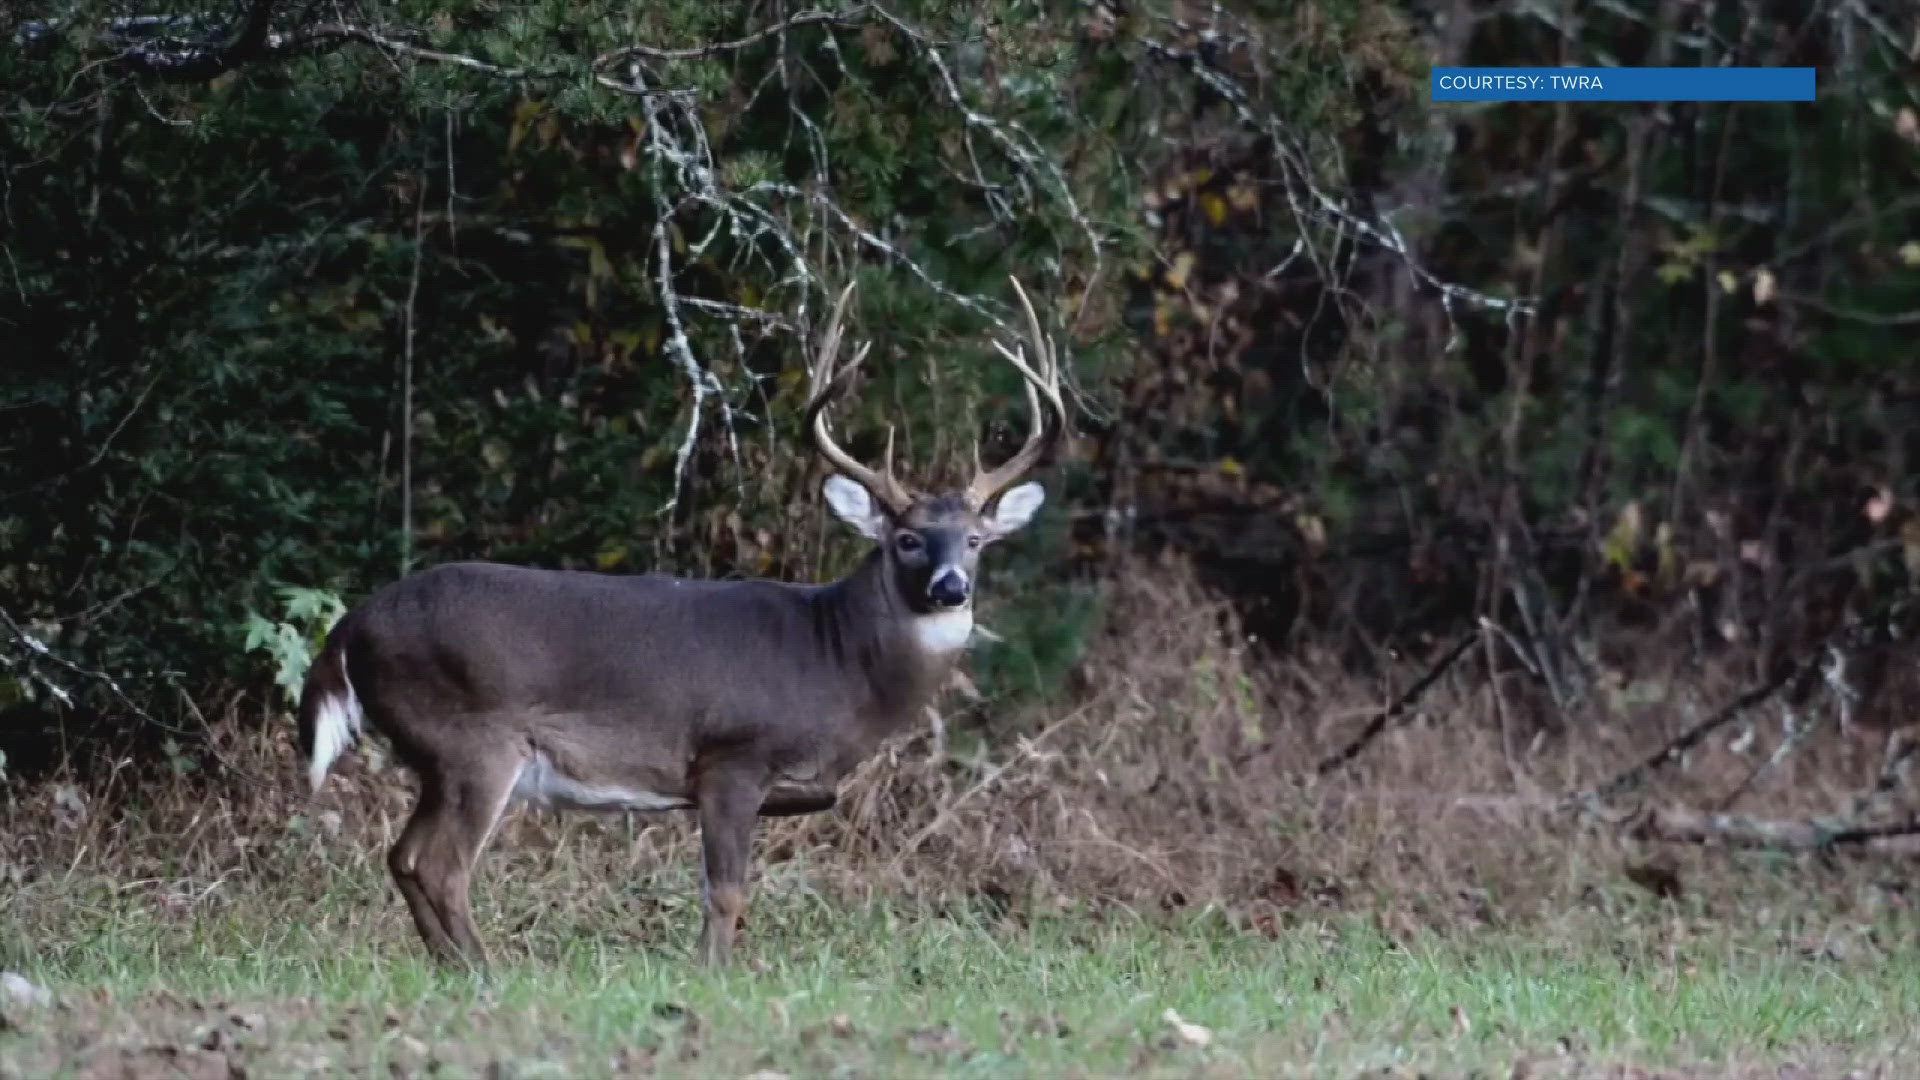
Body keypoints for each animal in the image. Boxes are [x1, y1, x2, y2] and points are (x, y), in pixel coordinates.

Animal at [295, 276, 1068, 968]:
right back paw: (490, 972)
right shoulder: (732, 759)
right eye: (905, 539)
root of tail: (350, 628)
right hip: (472, 740)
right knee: (440, 865)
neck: (840, 663)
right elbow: (725, 893)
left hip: (436, 754)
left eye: (976, 540)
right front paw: (711, 977)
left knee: (402, 856)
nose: (949, 586)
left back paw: (457, 968)